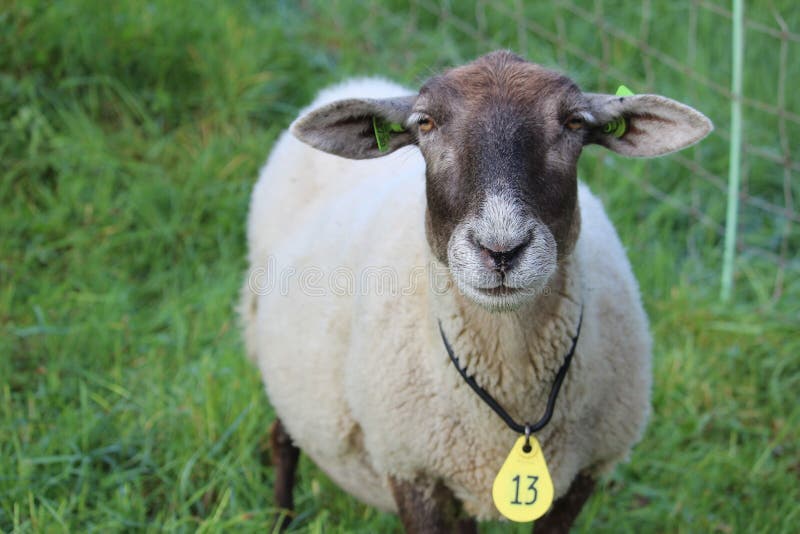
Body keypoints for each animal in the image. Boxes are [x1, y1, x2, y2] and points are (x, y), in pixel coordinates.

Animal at [240, 50, 712, 532]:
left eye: (575, 122)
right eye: (425, 122)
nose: (501, 249)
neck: (512, 369)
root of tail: (350, 84)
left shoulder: (583, 475)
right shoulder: (413, 471)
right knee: (282, 438)